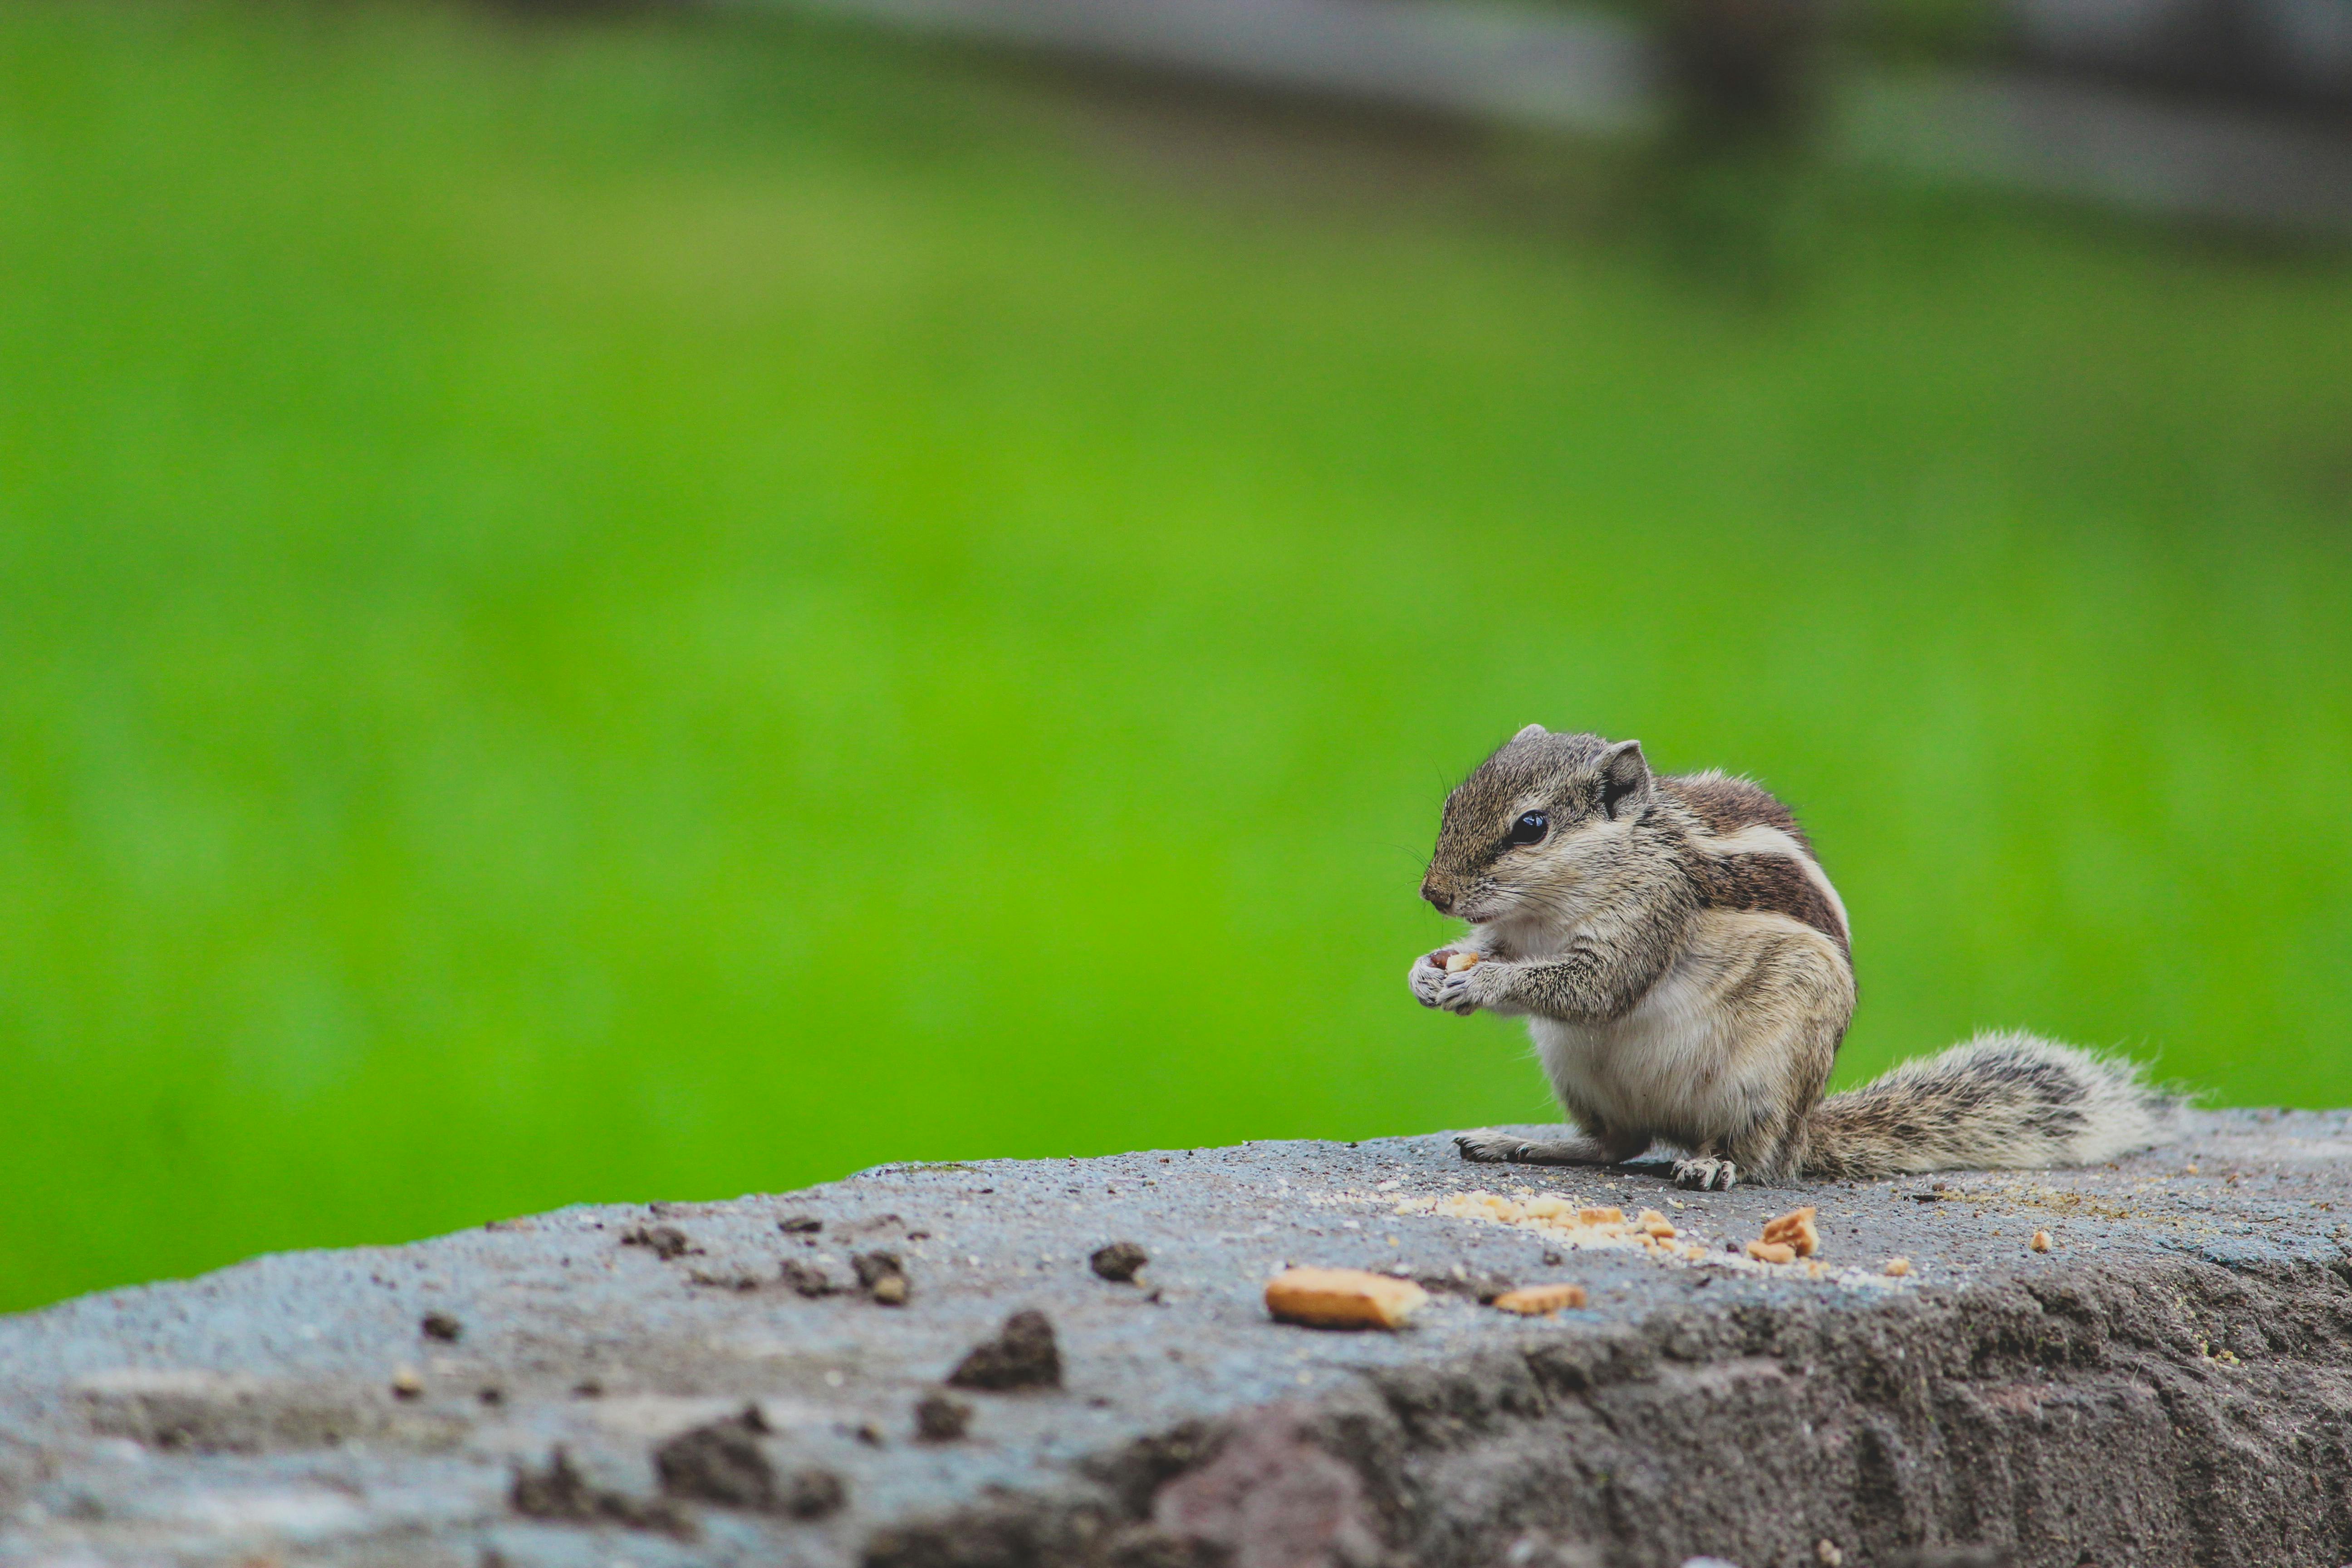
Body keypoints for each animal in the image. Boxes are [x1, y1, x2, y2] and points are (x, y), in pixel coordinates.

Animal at [1410, 725, 2178, 1189]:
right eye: (1452, 803)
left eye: (1531, 827)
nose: (1433, 893)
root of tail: (1805, 1132)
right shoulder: (1514, 932)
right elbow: (1489, 951)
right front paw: (1430, 970)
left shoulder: (1650, 917)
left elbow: (1596, 988)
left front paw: (1482, 985)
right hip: (1578, 1073)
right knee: (1615, 1144)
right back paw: (1524, 1144)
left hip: (1761, 1082)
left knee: (1749, 1157)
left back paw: (1713, 1168)